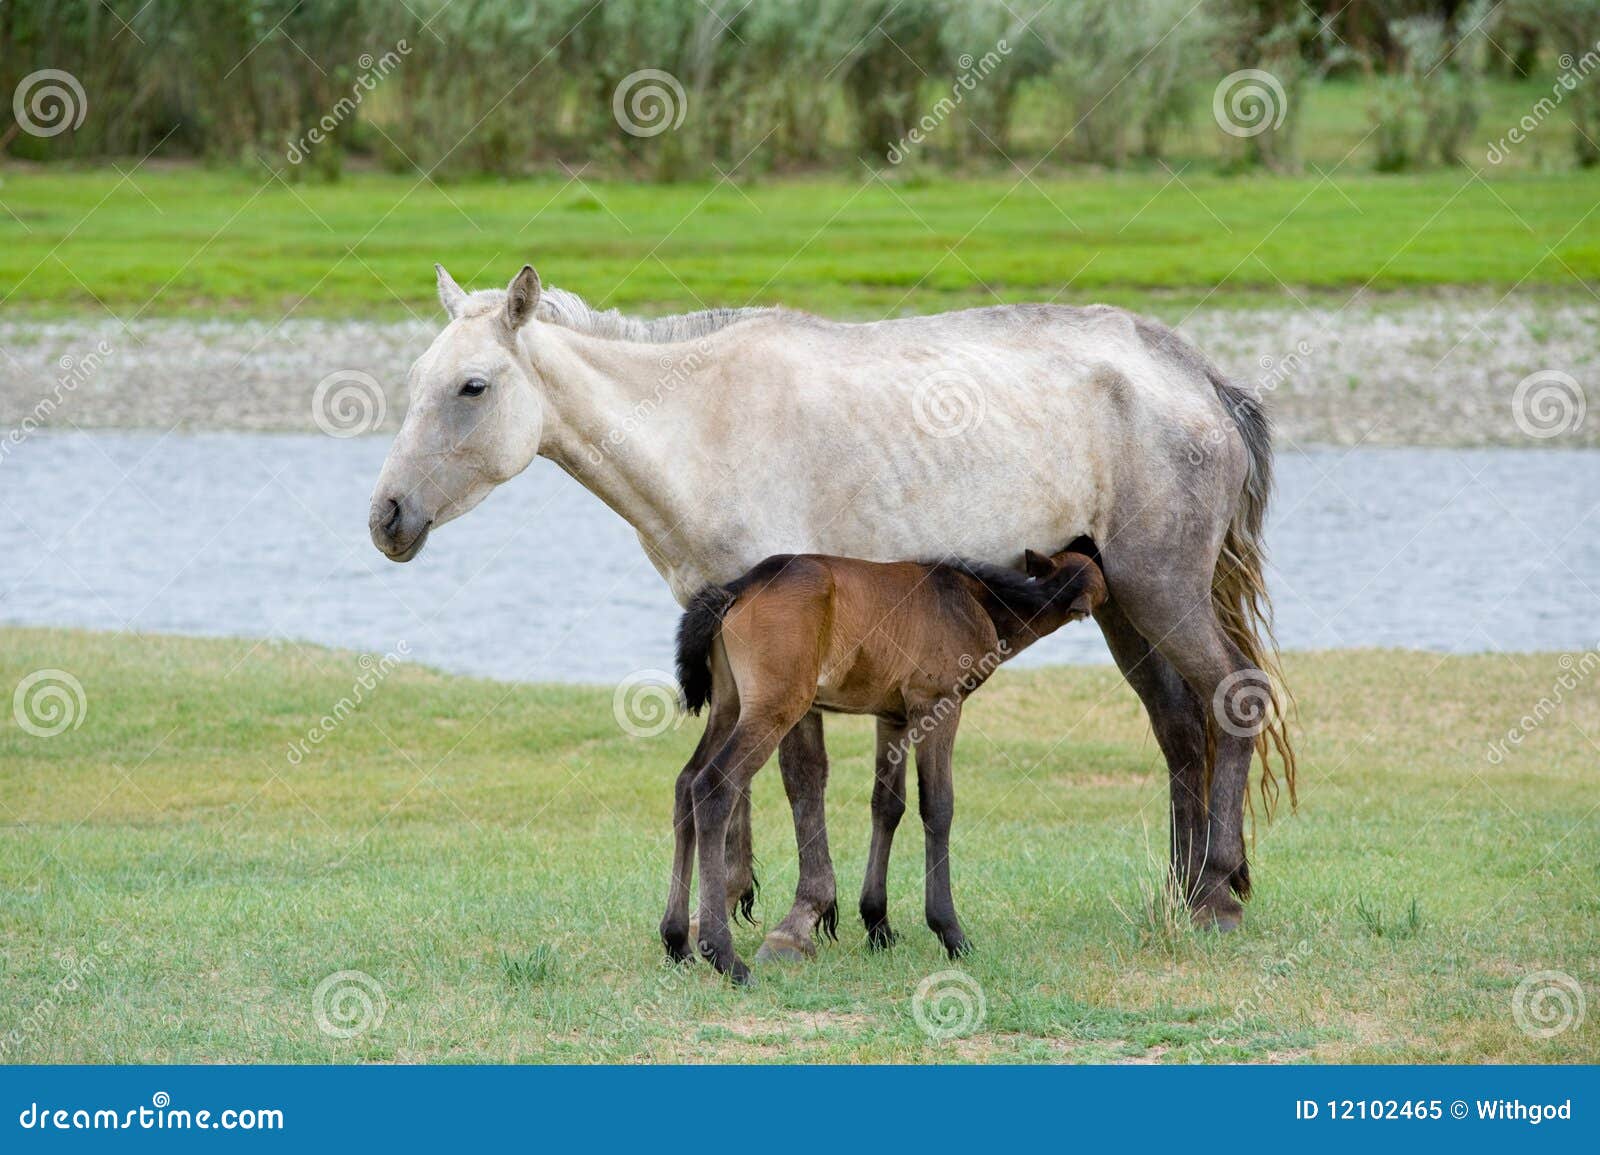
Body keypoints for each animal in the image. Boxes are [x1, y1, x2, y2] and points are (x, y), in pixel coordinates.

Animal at [667, 542, 1107, 982]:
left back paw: (676, 941)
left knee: (686, 782)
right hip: (776, 705)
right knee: (714, 785)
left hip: (729, 705)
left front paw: (878, 925)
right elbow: (938, 806)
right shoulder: (938, 703)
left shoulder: (893, 718)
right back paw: (724, 956)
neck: (973, 599)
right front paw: (950, 932)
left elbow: (887, 804)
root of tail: (737, 588)